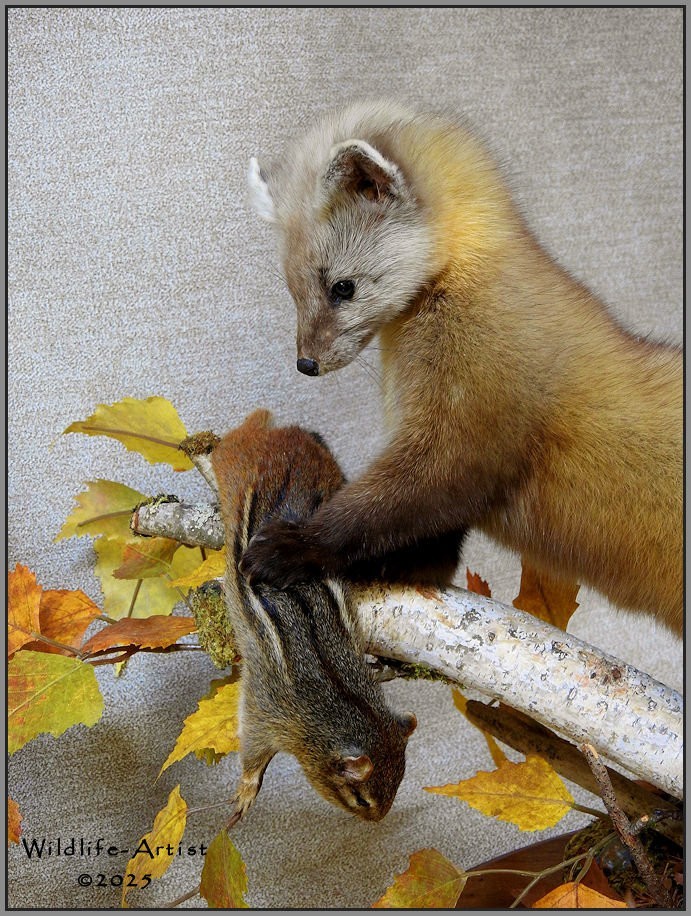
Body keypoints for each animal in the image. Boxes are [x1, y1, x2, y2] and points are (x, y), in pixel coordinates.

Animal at [240, 99, 683, 635]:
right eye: (290, 285)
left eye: (342, 286)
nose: (306, 362)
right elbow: (437, 542)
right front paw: (398, 563)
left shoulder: (465, 432)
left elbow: (383, 507)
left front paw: (288, 547)